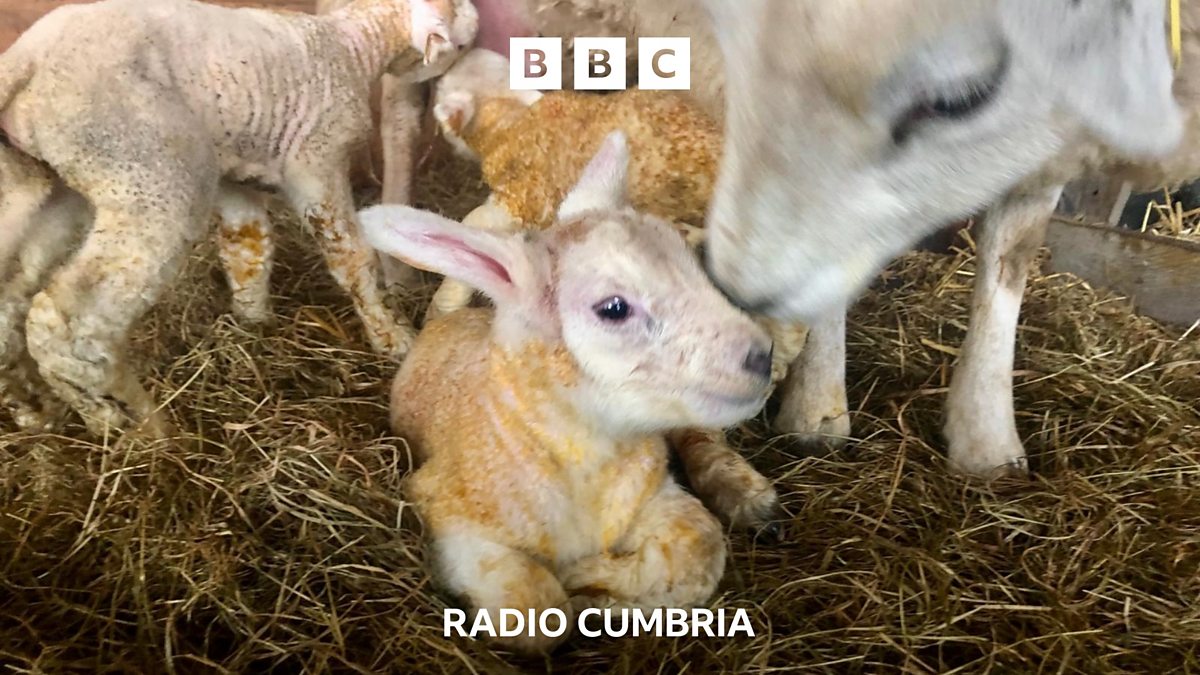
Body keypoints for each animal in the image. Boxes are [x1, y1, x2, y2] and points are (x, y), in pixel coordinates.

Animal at [0, 0, 477, 436]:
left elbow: (247, 248)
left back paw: (35, 411)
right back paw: (132, 424)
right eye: (459, 39)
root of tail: (26, 58)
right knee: (65, 322)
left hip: (42, 186)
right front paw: (393, 337)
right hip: (148, 172)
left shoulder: (236, 179)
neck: (350, 46)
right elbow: (350, 256)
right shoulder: (316, 160)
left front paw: (252, 323)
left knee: (12, 303)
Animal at [359, 131, 773, 653]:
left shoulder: (652, 493)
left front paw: (594, 585)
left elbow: (700, 546)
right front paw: (578, 590)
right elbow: (536, 610)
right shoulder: (447, 513)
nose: (762, 356)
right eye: (613, 308)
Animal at [697, 0, 1198, 476]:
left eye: (960, 99)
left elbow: (1011, 256)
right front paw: (815, 411)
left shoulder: (1044, 138)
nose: (737, 290)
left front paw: (986, 440)